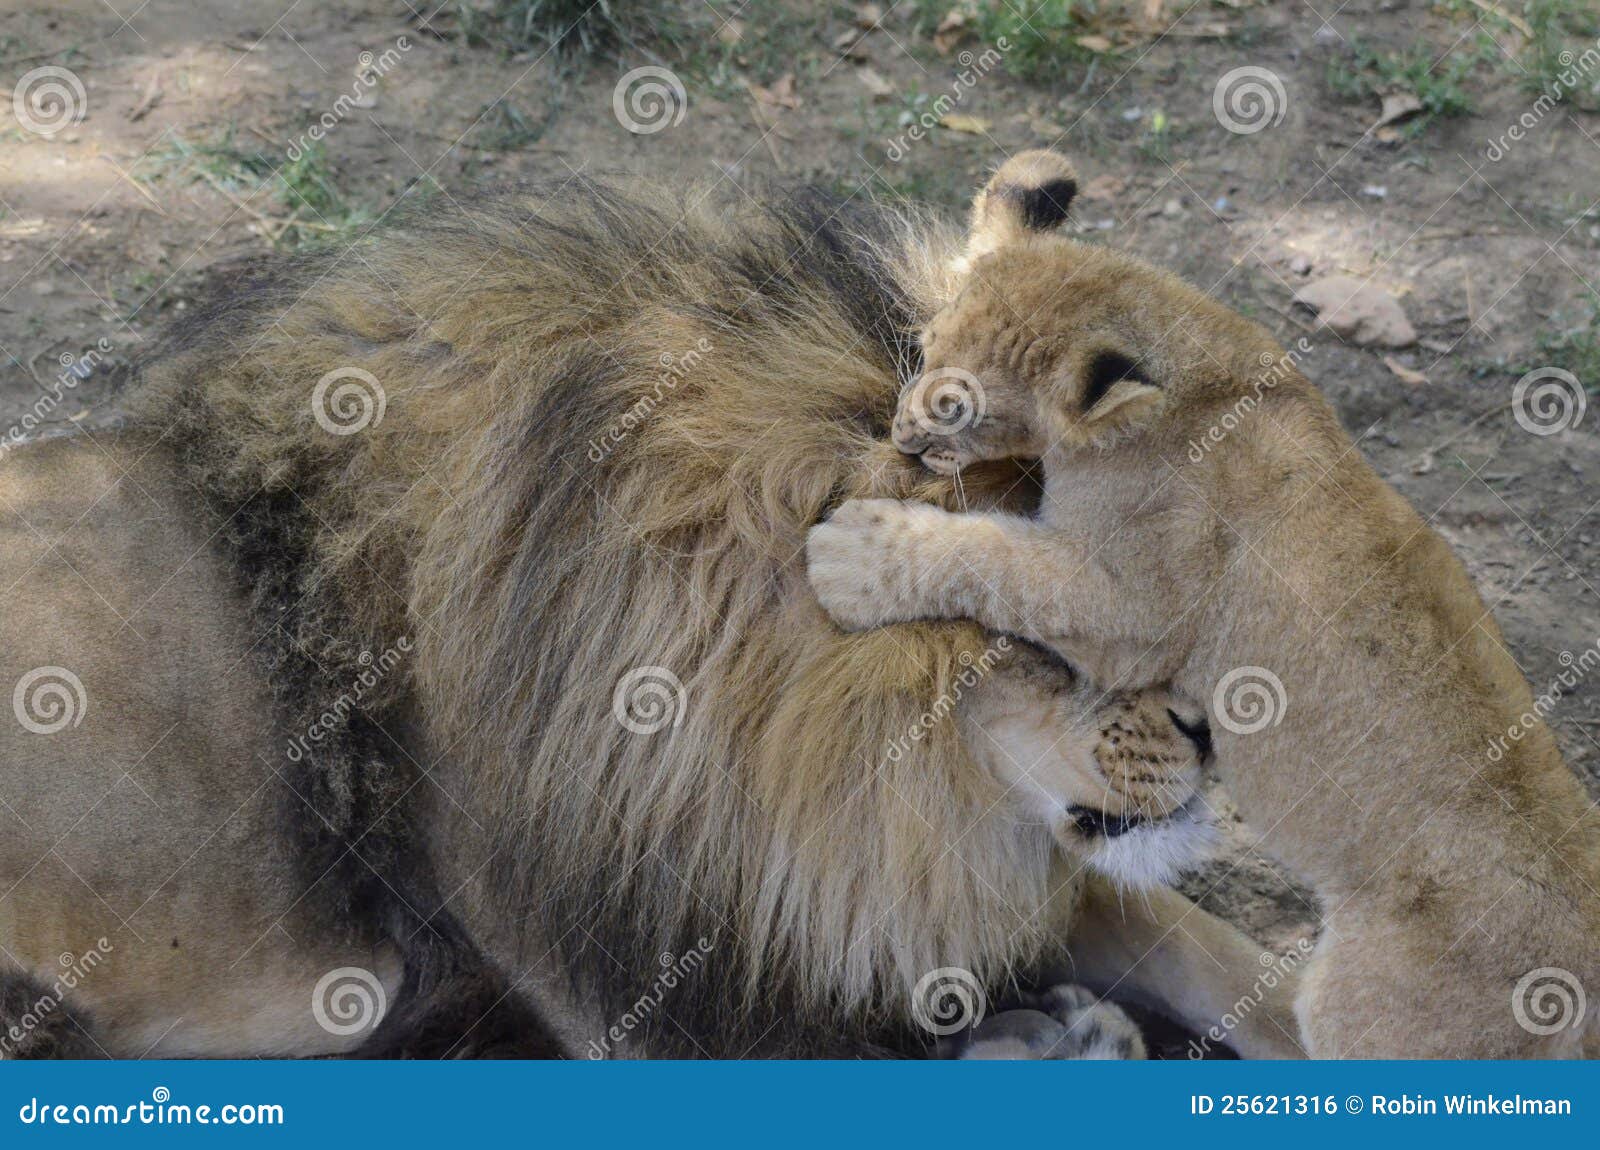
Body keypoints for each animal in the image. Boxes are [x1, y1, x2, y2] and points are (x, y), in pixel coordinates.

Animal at [808, 150, 1600, 1059]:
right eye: (926, 347)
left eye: (958, 410)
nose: (901, 437)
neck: (1200, 354)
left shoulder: (1132, 607)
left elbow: (996, 558)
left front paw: (851, 553)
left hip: (1365, 1018)